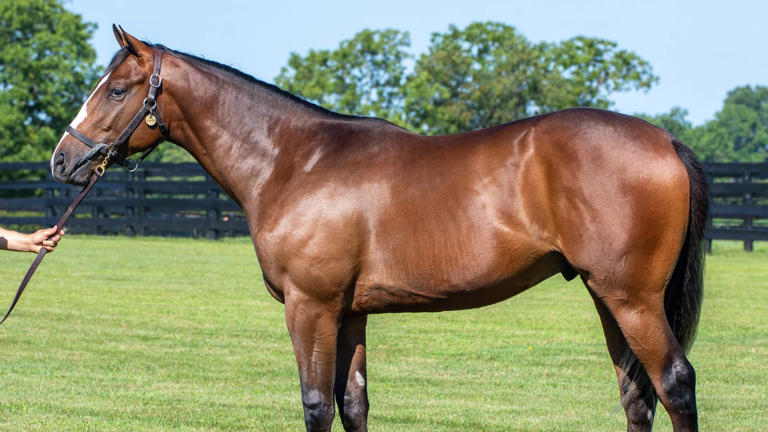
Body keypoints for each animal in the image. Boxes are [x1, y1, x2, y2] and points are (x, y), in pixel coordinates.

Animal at [50, 26, 708, 432]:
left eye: (115, 90)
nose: (63, 160)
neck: (296, 161)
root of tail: (664, 140)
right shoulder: (350, 313)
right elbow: (354, 403)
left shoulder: (310, 307)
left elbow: (317, 404)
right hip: (608, 296)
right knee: (637, 395)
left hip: (632, 298)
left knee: (674, 383)